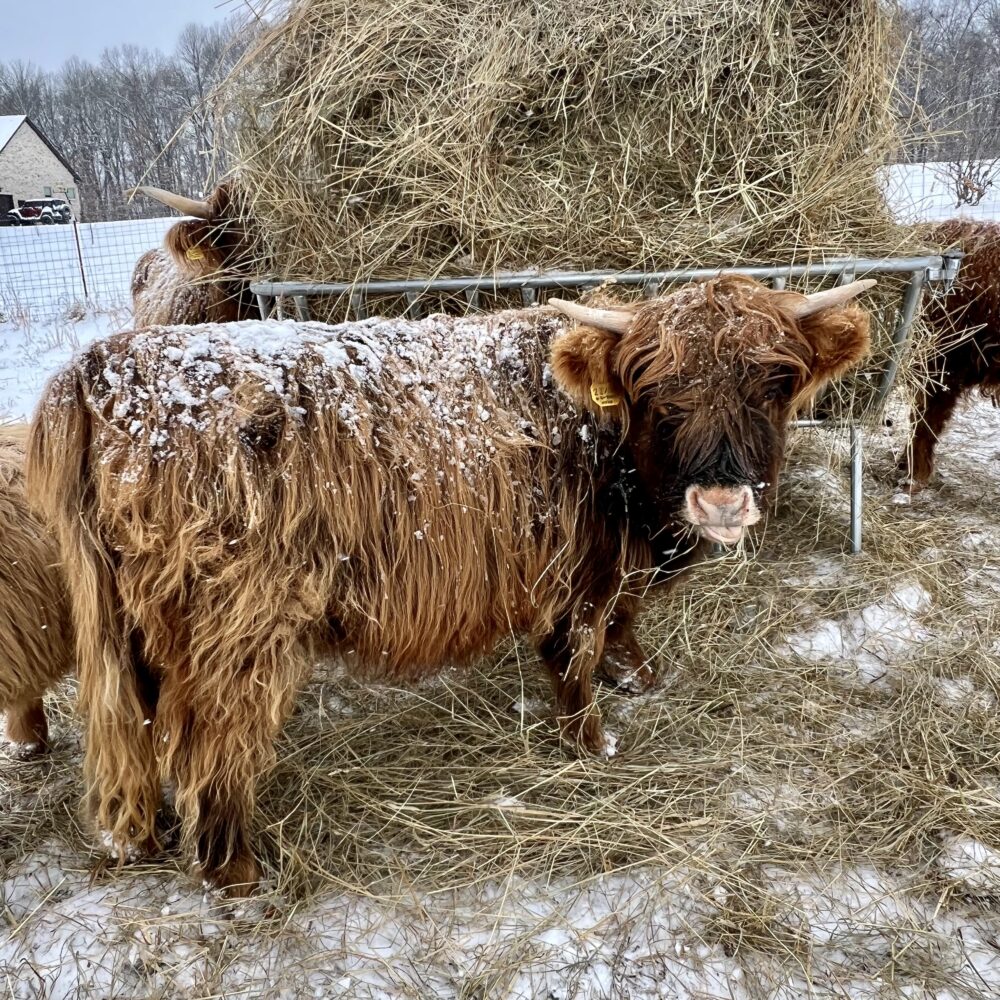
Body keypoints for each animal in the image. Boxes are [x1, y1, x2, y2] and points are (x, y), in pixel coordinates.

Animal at [26, 275, 874, 893]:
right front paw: (592, 741)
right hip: (237, 627)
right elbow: (578, 649)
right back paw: (233, 869)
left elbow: (624, 624)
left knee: (140, 727)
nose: (722, 500)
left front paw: (639, 675)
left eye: (774, 383)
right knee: (211, 742)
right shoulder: (581, 568)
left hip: (136, 627)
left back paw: (155, 837)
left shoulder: (617, 564)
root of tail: (105, 365)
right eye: (661, 392)